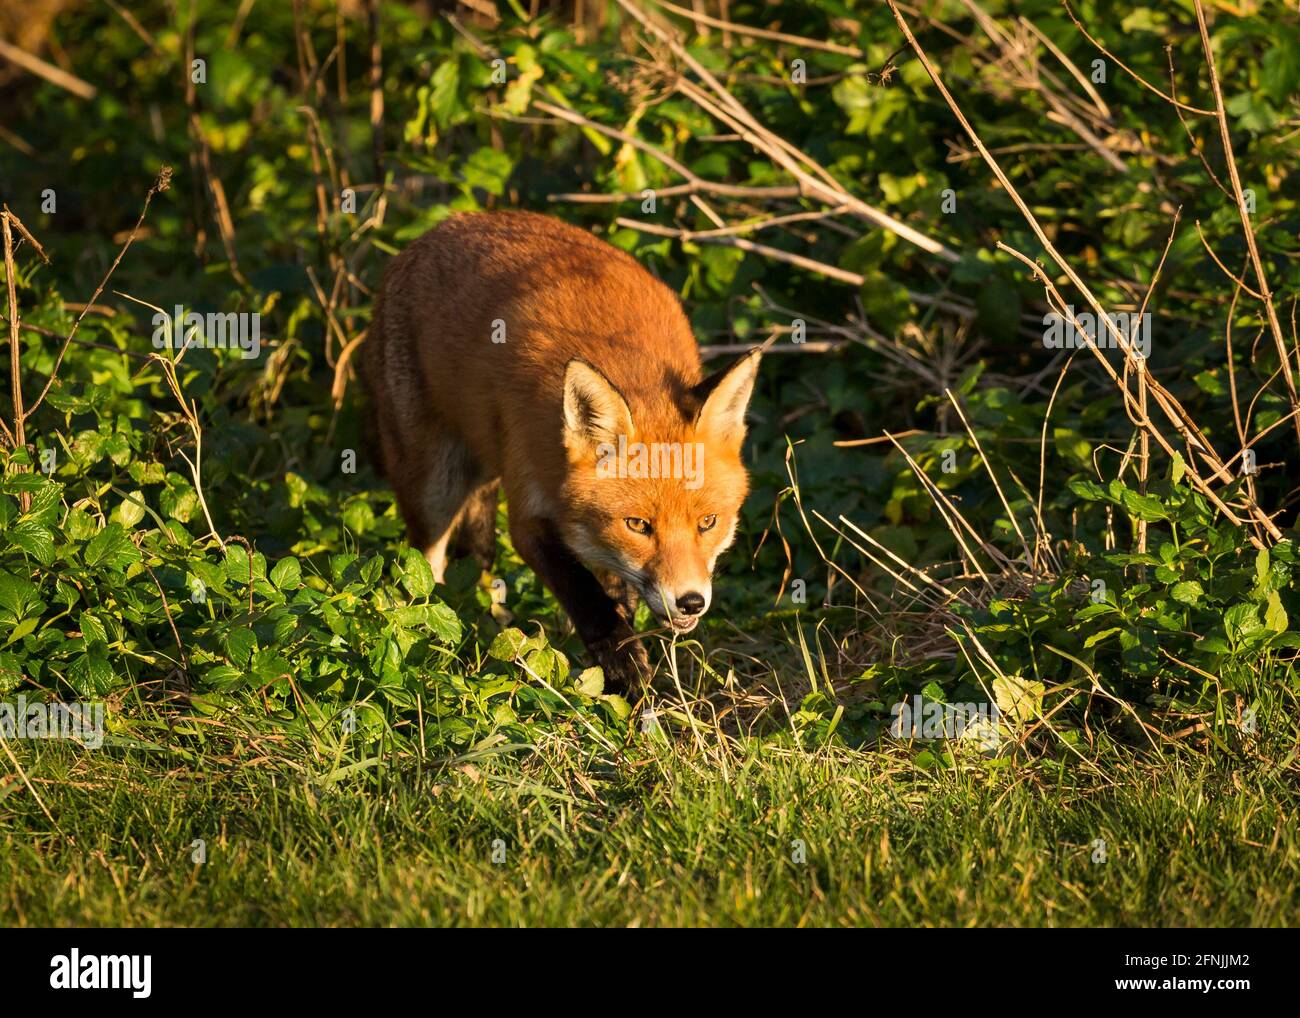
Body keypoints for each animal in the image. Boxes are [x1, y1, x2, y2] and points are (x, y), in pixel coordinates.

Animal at [359, 211, 761, 691]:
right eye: (638, 525)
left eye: (708, 522)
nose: (691, 602)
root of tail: (436, 229)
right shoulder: (527, 514)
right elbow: (583, 594)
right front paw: (625, 666)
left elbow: (613, 592)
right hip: (433, 488)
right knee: (425, 571)